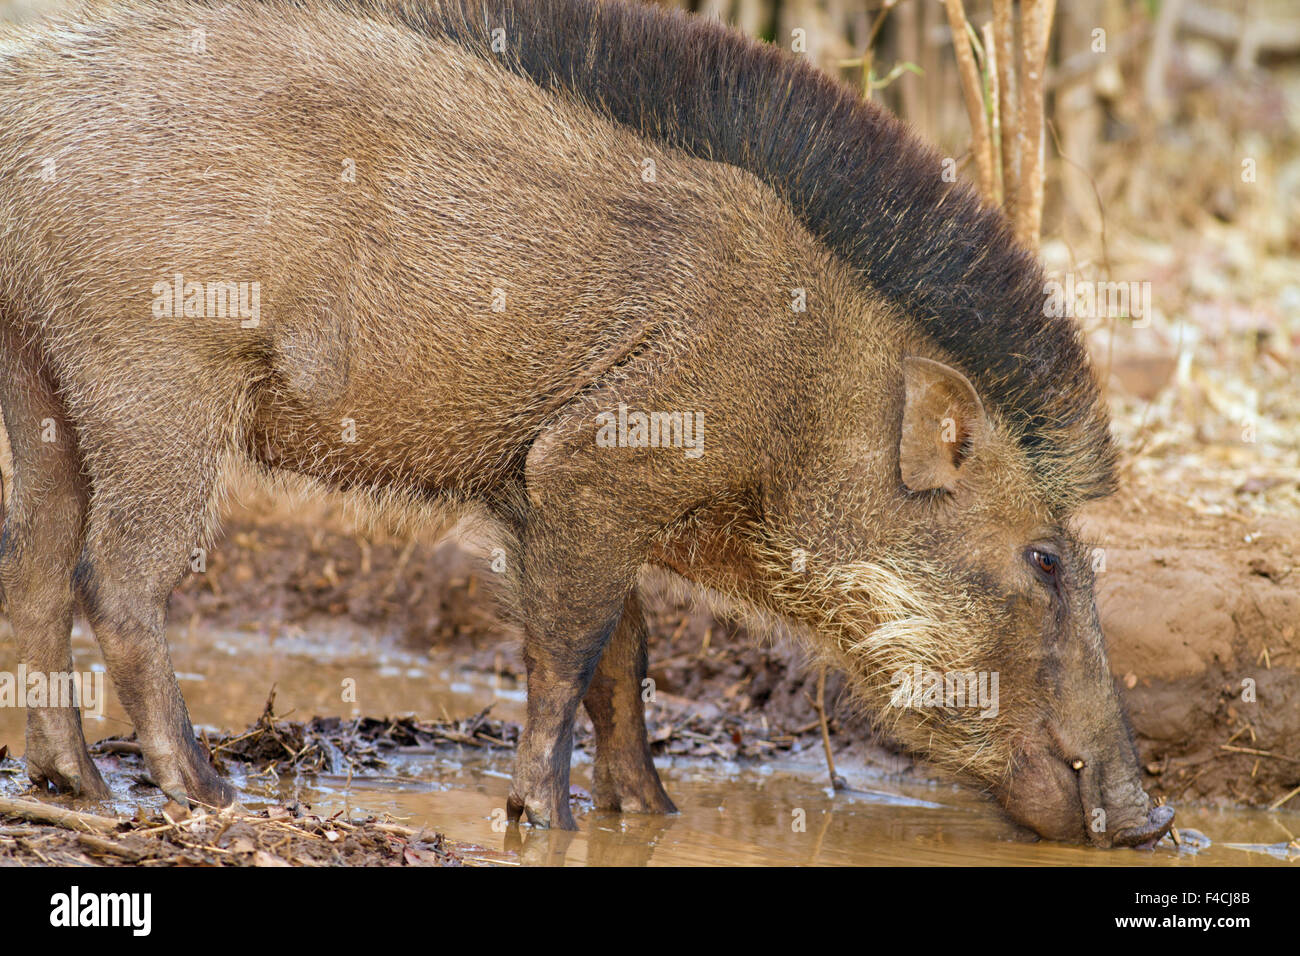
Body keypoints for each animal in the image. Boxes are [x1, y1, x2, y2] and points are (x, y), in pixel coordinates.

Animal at [0, 0, 1174, 847]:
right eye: (1044, 559)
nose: (1152, 817)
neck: (809, 397)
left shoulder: (539, 487)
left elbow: (624, 653)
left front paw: (649, 813)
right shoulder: (594, 468)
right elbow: (568, 650)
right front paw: (546, 818)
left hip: (39, 377)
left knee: (37, 565)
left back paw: (77, 783)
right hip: (155, 375)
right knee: (118, 579)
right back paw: (200, 787)